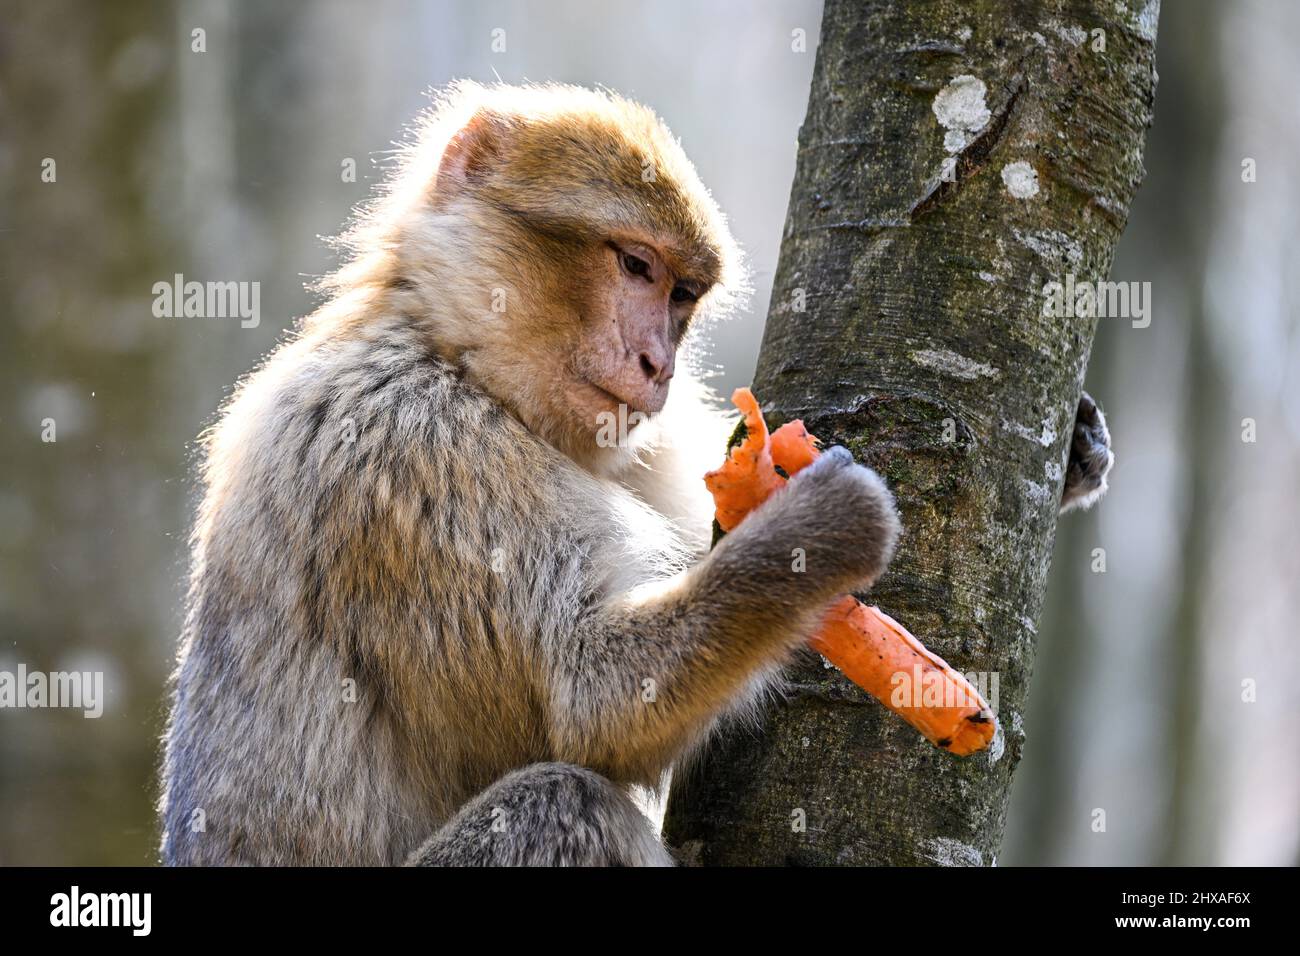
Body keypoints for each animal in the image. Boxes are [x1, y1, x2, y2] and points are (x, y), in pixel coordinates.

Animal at [159, 82, 1113, 866]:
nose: (658, 362)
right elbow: (589, 705)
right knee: (561, 805)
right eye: (635, 266)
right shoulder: (416, 449)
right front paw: (814, 536)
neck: (455, 356)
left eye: (682, 294)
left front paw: (1074, 451)